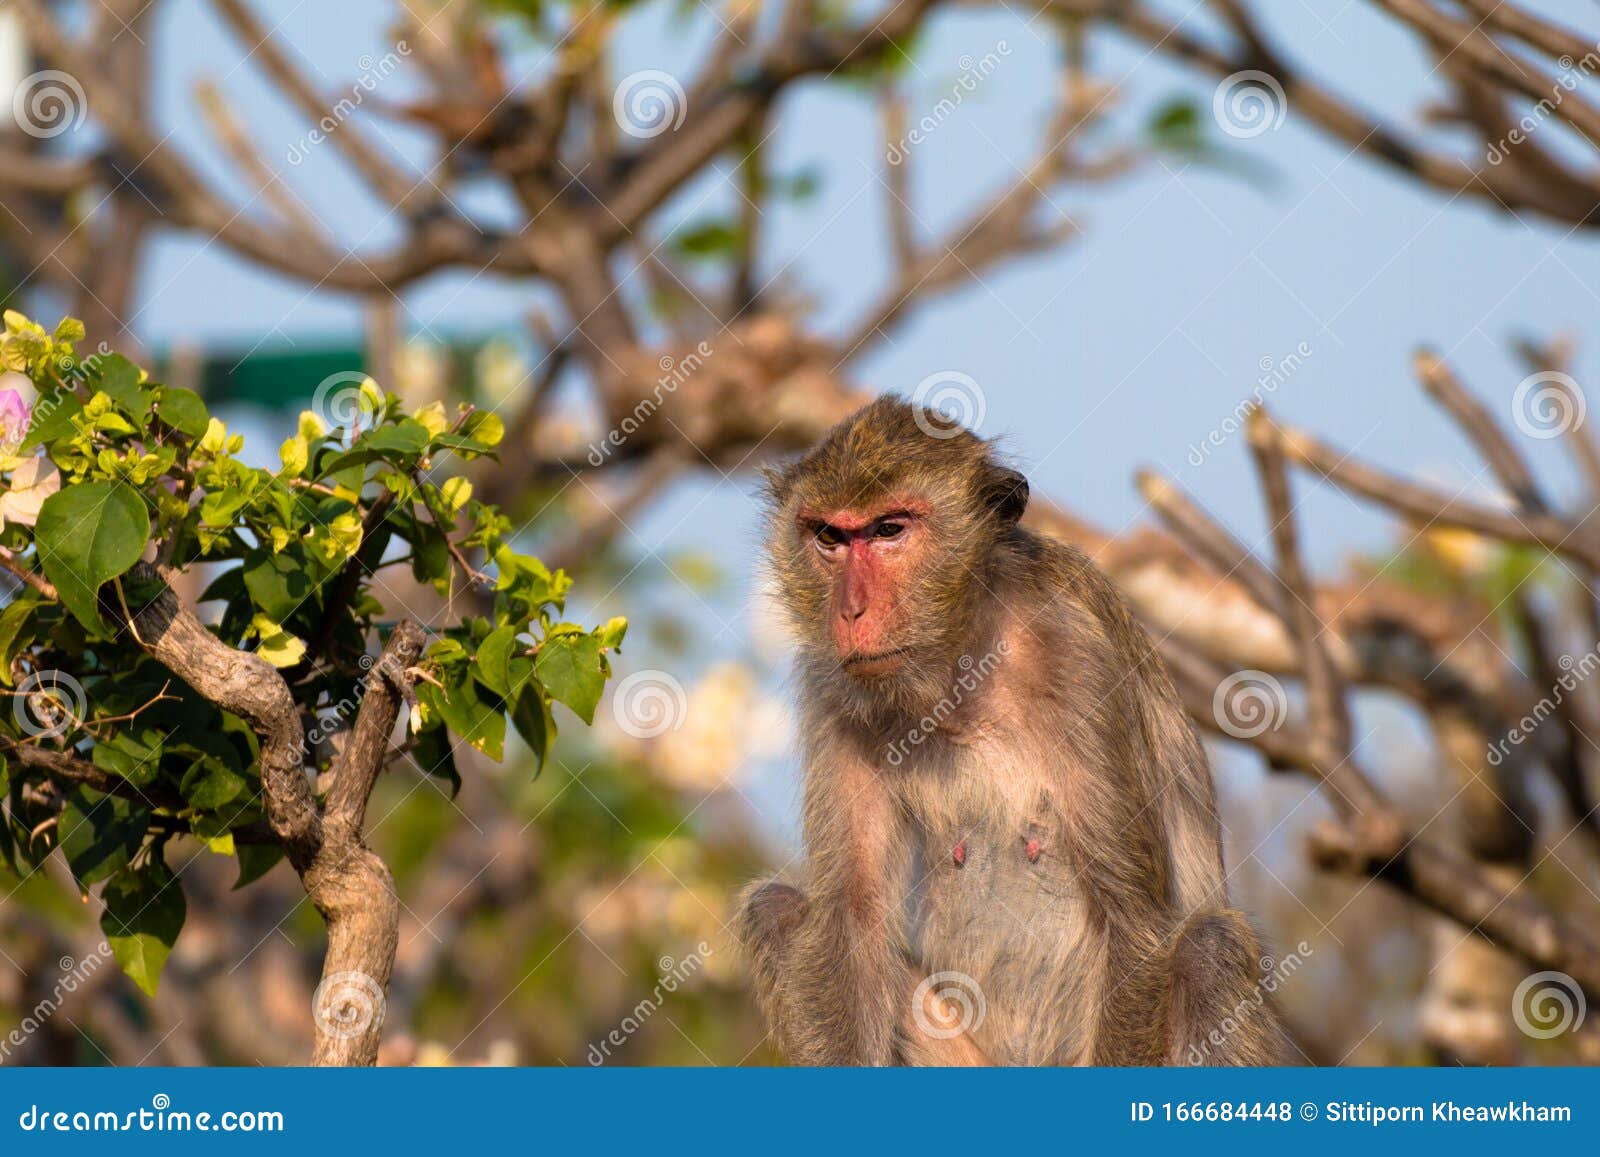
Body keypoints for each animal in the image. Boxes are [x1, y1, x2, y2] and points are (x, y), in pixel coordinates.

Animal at [737, 396, 1288, 1066]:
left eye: (889, 530)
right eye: (829, 538)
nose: (850, 611)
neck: (964, 666)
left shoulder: (1077, 655)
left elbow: (1132, 919)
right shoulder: (833, 689)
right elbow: (850, 918)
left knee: (1209, 944)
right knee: (775, 910)